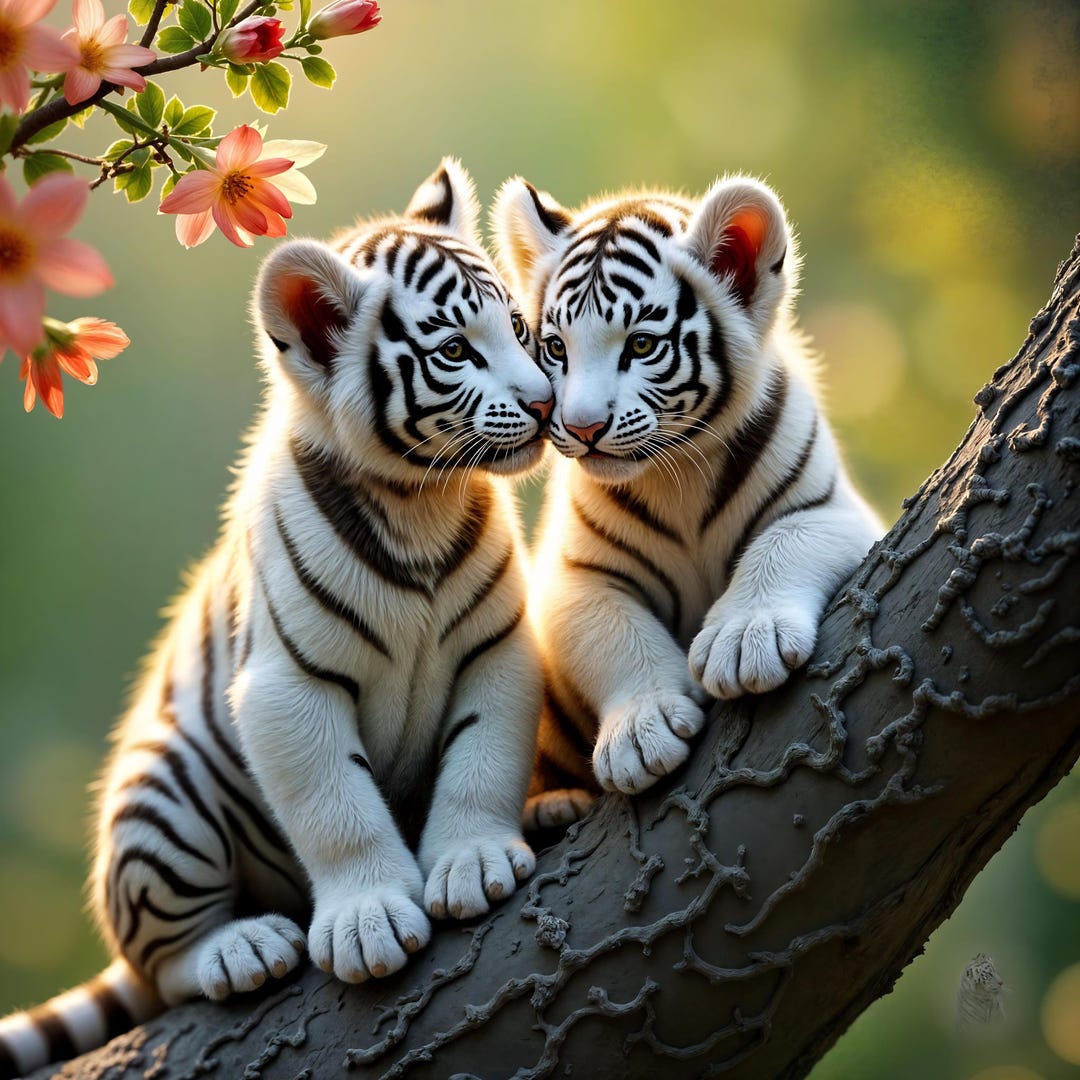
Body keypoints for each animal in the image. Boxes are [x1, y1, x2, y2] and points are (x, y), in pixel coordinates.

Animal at [0, 158, 553, 1079]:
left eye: (518, 326)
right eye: (455, 351)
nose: (548, 404)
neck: (418, 503)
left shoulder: (497, 650)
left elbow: (481, 757)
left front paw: (470, 861)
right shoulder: (287, 687)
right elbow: (338, 807)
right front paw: (369, 921)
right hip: (163, 802)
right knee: (164, 964)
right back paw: (241, 949)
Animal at [492, 173, 882, 826]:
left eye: (642, 345)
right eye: (556, 349)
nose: (581, 426)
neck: (676, 475)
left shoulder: (834, 512)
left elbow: (784, 543)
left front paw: (745, 640)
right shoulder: (575, 574)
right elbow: (612, 633)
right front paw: (642, 730)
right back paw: (555, 806)